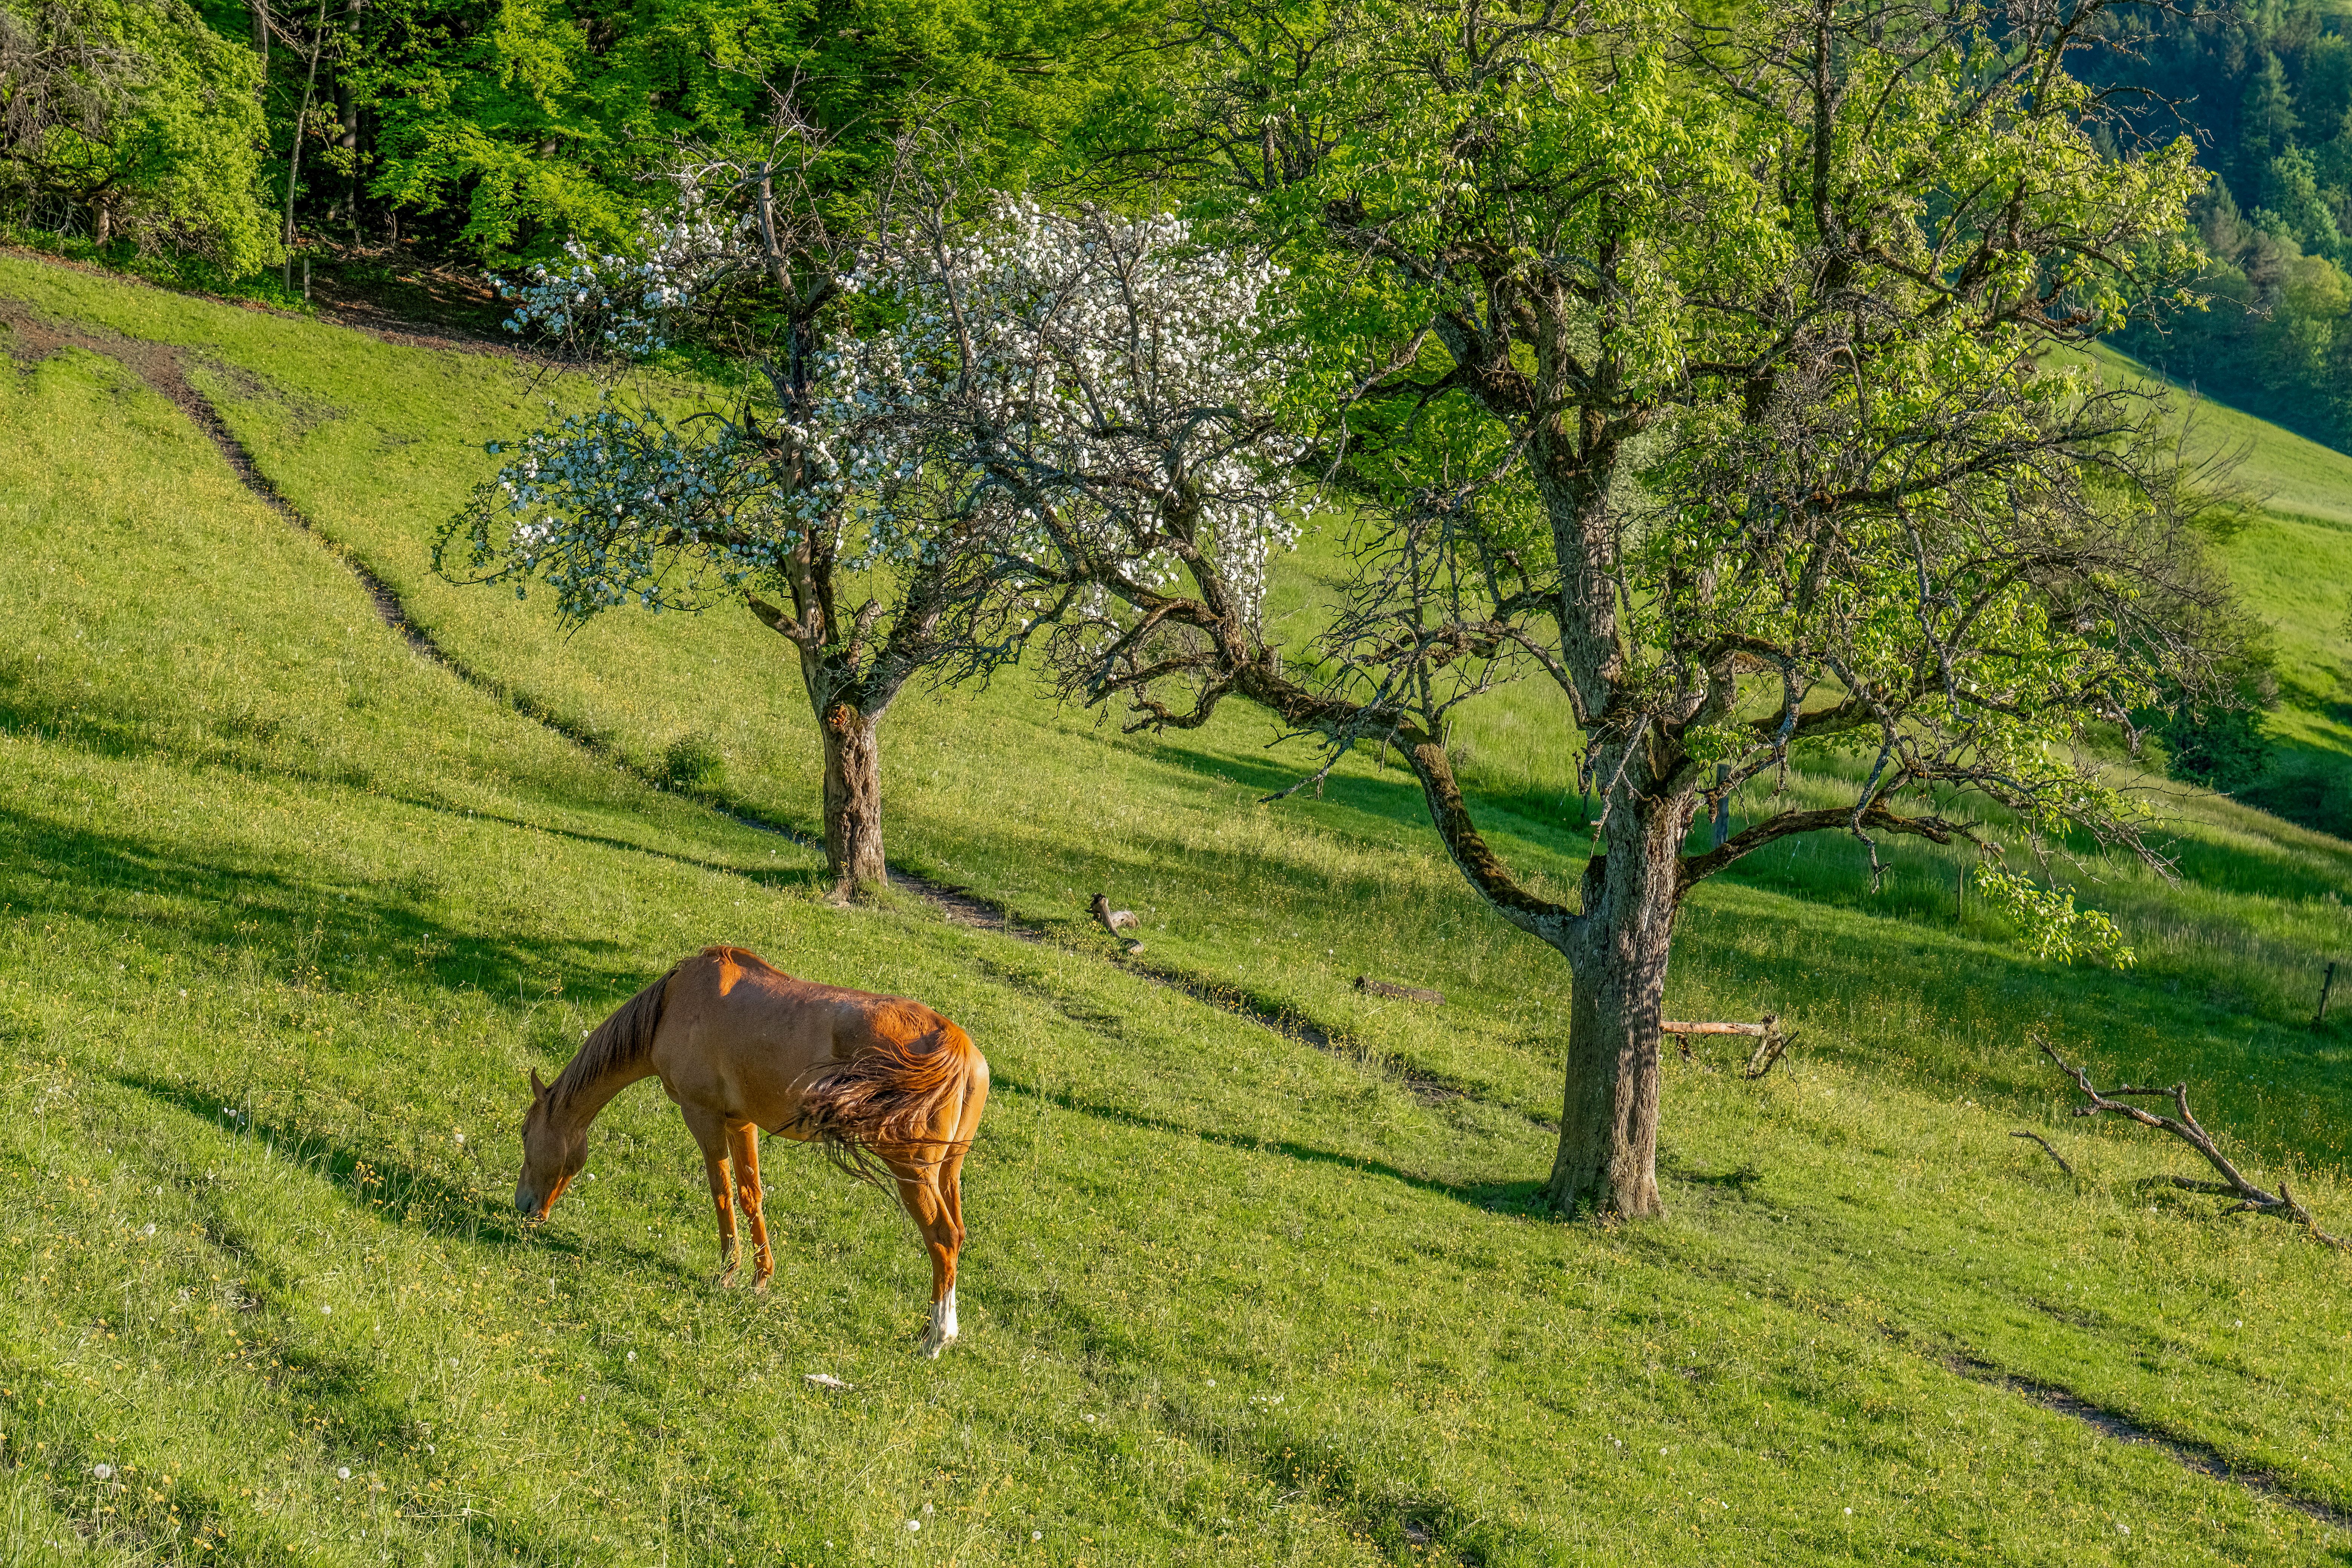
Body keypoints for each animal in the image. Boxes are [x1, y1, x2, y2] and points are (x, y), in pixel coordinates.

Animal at [514, 945, 989, 1357]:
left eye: (523, 1132)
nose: (524, 1206)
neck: (674, 1003)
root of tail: (958, 1047)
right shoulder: (741, 1122)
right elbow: (750, 1195)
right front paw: (761, 1279)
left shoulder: (703, 1115)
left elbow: (721, 1191)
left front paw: (728, 1271)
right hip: (947, 1172)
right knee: (957, 1235)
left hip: (912, 1170)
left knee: (942, 1237)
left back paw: (935, 1338)